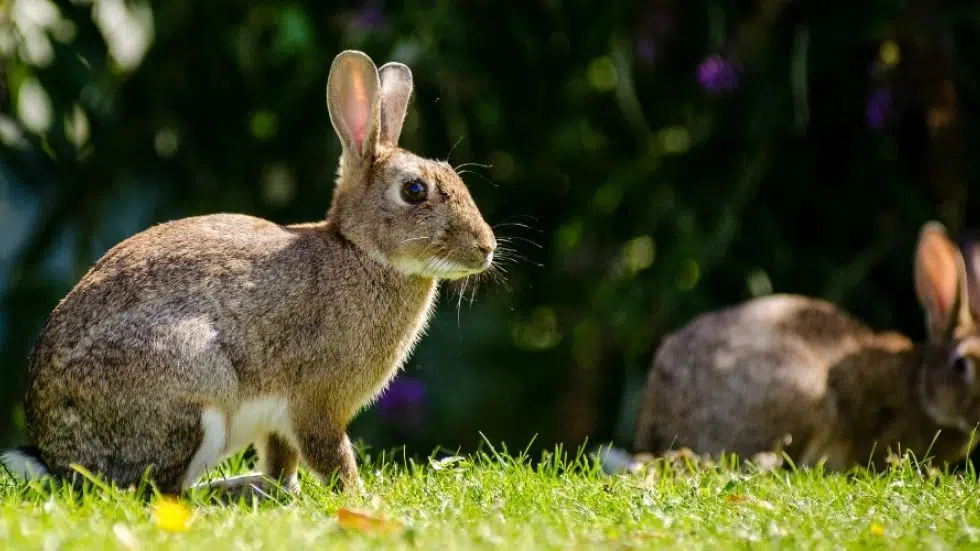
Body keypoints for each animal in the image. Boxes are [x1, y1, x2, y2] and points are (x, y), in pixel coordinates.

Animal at [0, 50, 496, 496]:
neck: (360, 251)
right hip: (194, 388)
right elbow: (330, 454)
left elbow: (283, 458)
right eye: (414, 190)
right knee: (159, 491)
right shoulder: (315, 402)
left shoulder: (281, 421)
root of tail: (55, 457)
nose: (486, 247)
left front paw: (283, 491)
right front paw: (359, 498)